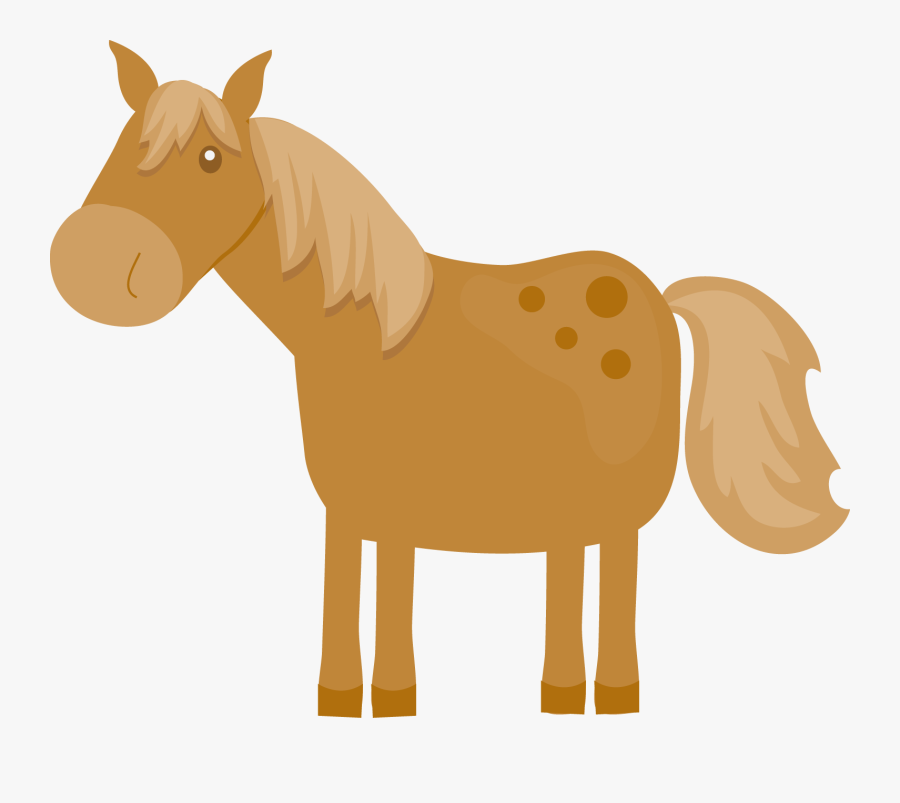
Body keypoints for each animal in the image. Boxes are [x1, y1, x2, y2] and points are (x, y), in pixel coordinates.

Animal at [50, 42, 848, 719]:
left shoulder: (401, 500)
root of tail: (657, 293)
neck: (363, 330)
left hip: (615, 504)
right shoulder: (349, 500)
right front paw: (341, 700)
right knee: (569, 564)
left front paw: (393, 700)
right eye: (120, 144)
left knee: (612, 571)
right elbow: (345, 579)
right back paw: (563, 694)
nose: (96, 263)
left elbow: (394, 585)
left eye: (212, 158)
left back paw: (605, 696)